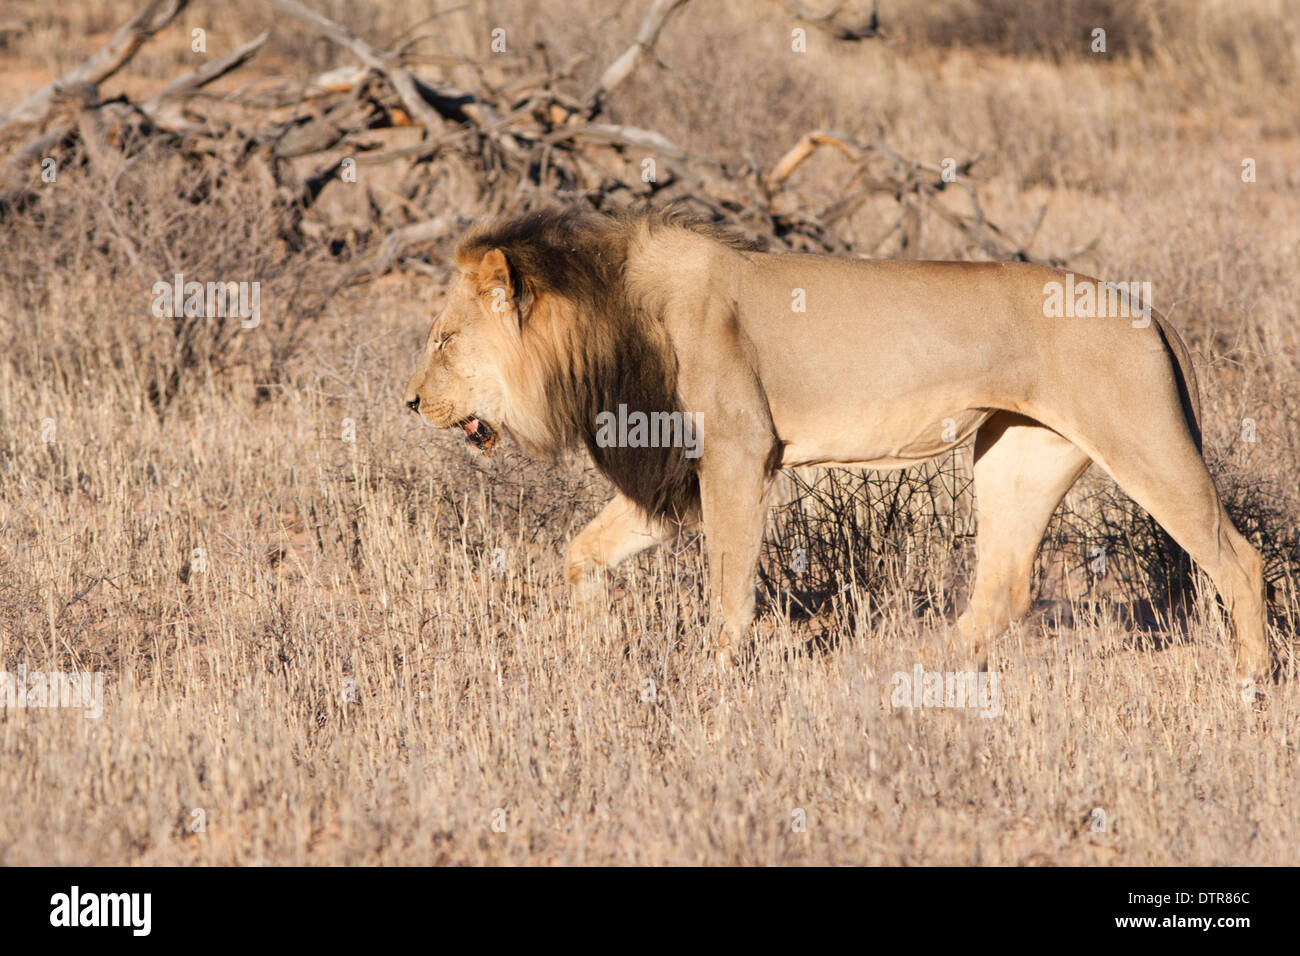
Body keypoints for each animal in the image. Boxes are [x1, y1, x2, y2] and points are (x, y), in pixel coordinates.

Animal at [404, 206, 1270, 680]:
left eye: (445, 339)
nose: (410, 402)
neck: (609, 323)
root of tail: (1143, 306)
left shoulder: (739, 454)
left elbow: (727, 589)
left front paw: (712, 678)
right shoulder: (671, 472)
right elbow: (580, 553)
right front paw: (591, 645)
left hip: (1143, 441)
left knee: (1238, 559)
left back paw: (1251, 686)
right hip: (1019, 454)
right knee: (1001, 588)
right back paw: (917, 676)